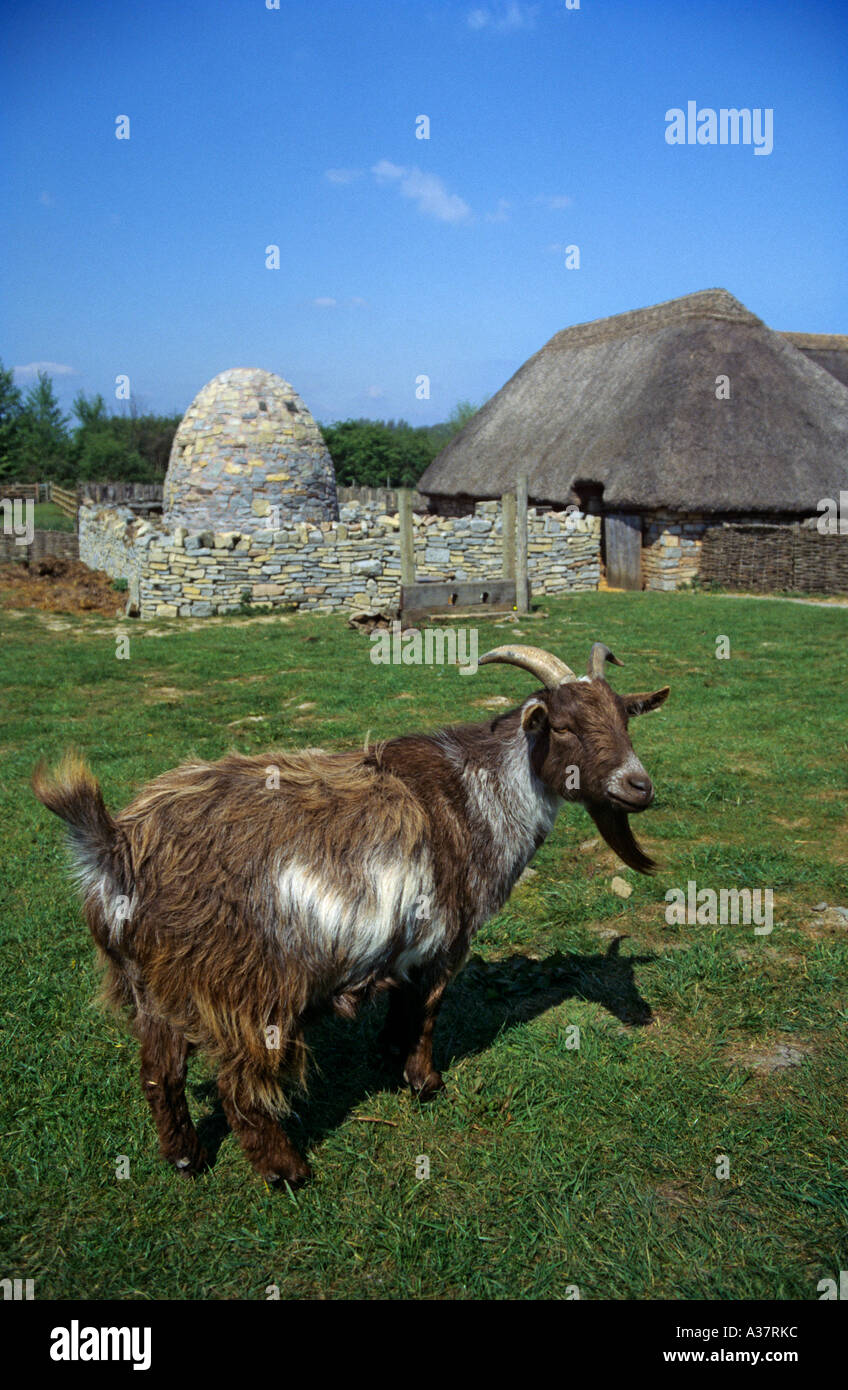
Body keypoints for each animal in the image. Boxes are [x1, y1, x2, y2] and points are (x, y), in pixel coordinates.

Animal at [33, 641, 669, 1187]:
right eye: (562, 726)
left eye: (625, 719)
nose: (639, 786)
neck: (480, 797)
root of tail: (119, 849)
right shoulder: (447, 937)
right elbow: (428, 1012)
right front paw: (425, 1082)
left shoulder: (405, 945)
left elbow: (402, 1006)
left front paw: (388, 1057)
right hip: (245, 985)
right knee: (238, 1084)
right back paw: (286, 1170)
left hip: (154, 985)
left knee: (159, 1073)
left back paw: (186, 1157)